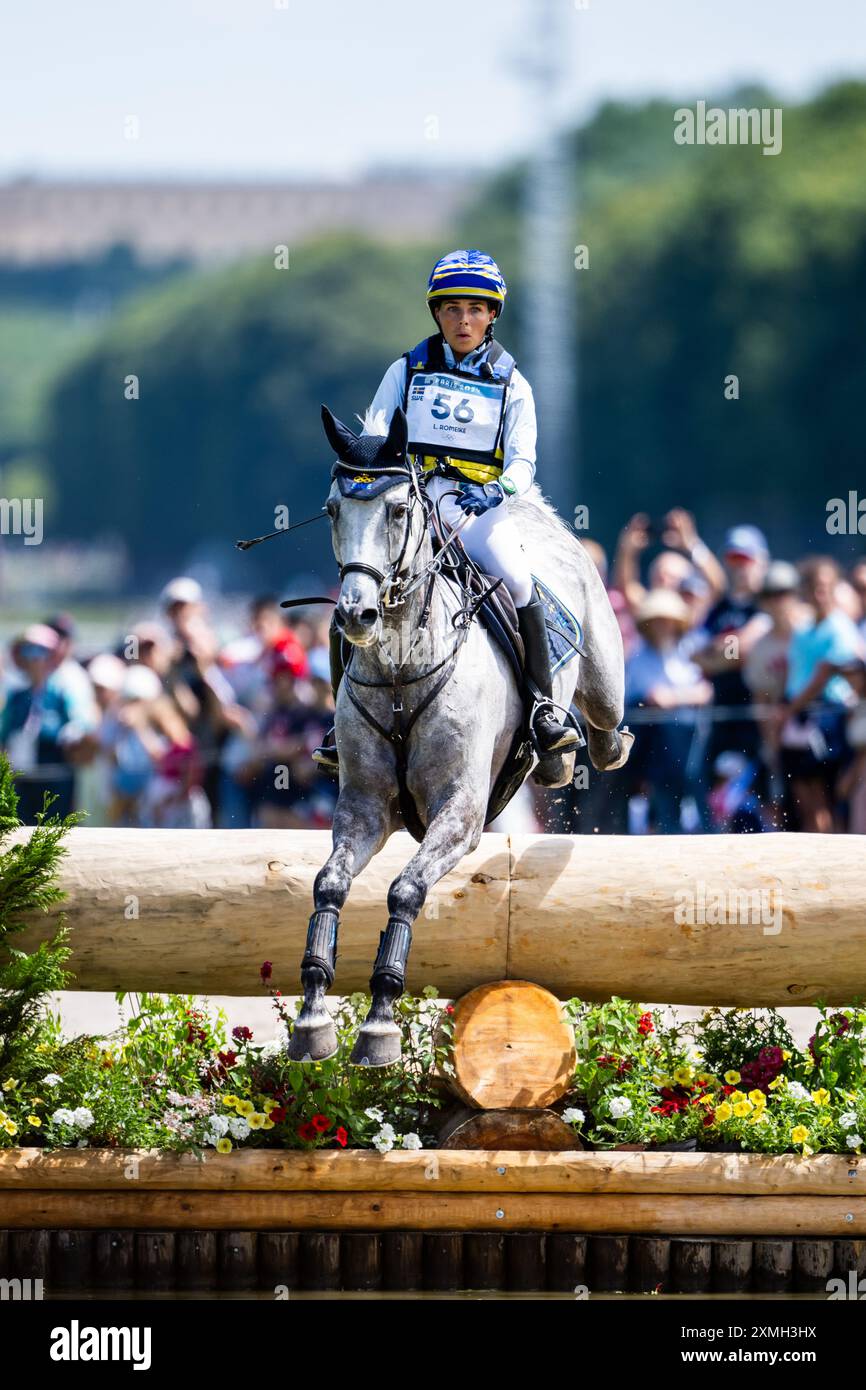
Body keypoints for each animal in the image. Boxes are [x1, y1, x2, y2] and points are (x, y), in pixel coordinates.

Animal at [288, 403, 632, 1066]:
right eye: (333, 509)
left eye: (399, 510)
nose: (355, 615)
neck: (400, 667)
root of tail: (537, 516)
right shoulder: (363, 809)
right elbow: (329, 884)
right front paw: (313, 1017)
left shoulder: (462, 813)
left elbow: (404, 891)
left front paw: (379, 1025)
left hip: (603, 673)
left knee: (605, 725)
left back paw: (566, 741)